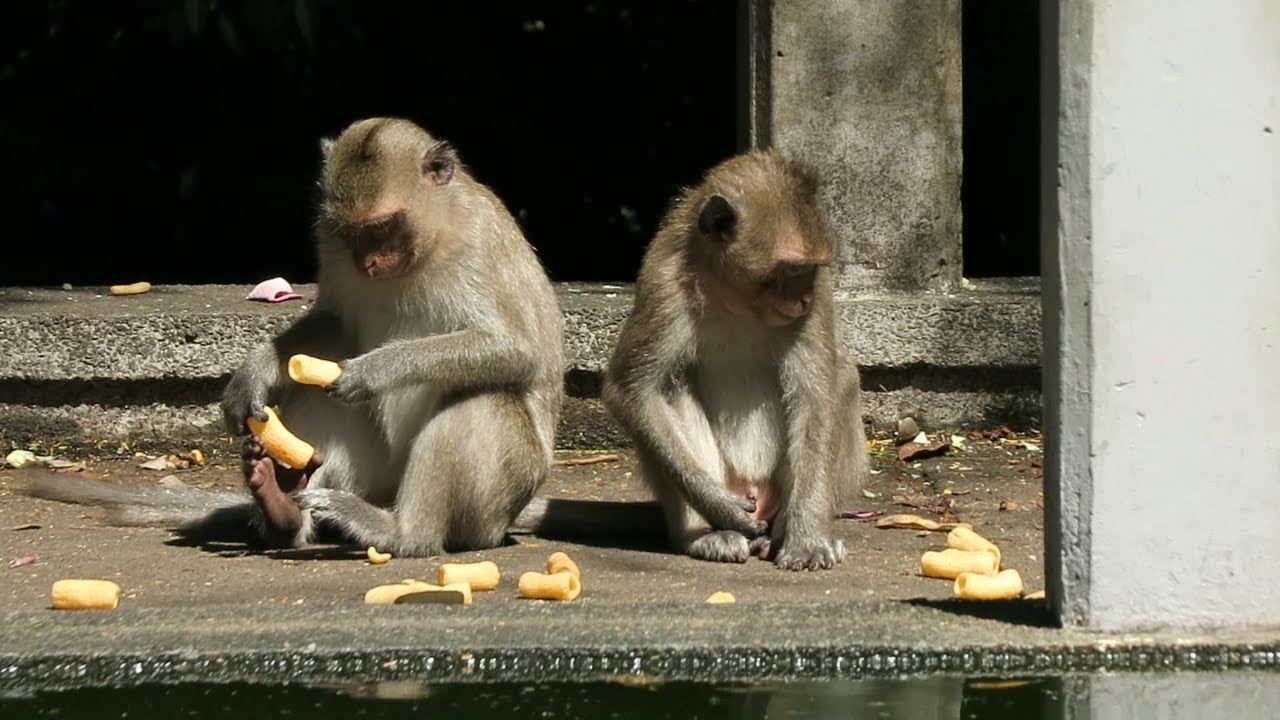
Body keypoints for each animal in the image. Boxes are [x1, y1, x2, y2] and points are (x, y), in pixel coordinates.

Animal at [27, 117, 565, 557]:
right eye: (349, 232)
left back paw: (403, 534)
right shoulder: (332, 247)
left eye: (383, 228)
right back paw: (282, 506)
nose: (369, 263)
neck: (431, 238)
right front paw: (257, 370)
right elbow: (334, 324)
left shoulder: (477, 243)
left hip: (494, 504)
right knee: (318, 393)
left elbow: (516, 350)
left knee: (481, 394)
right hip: (377, 475)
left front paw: (374, 370)